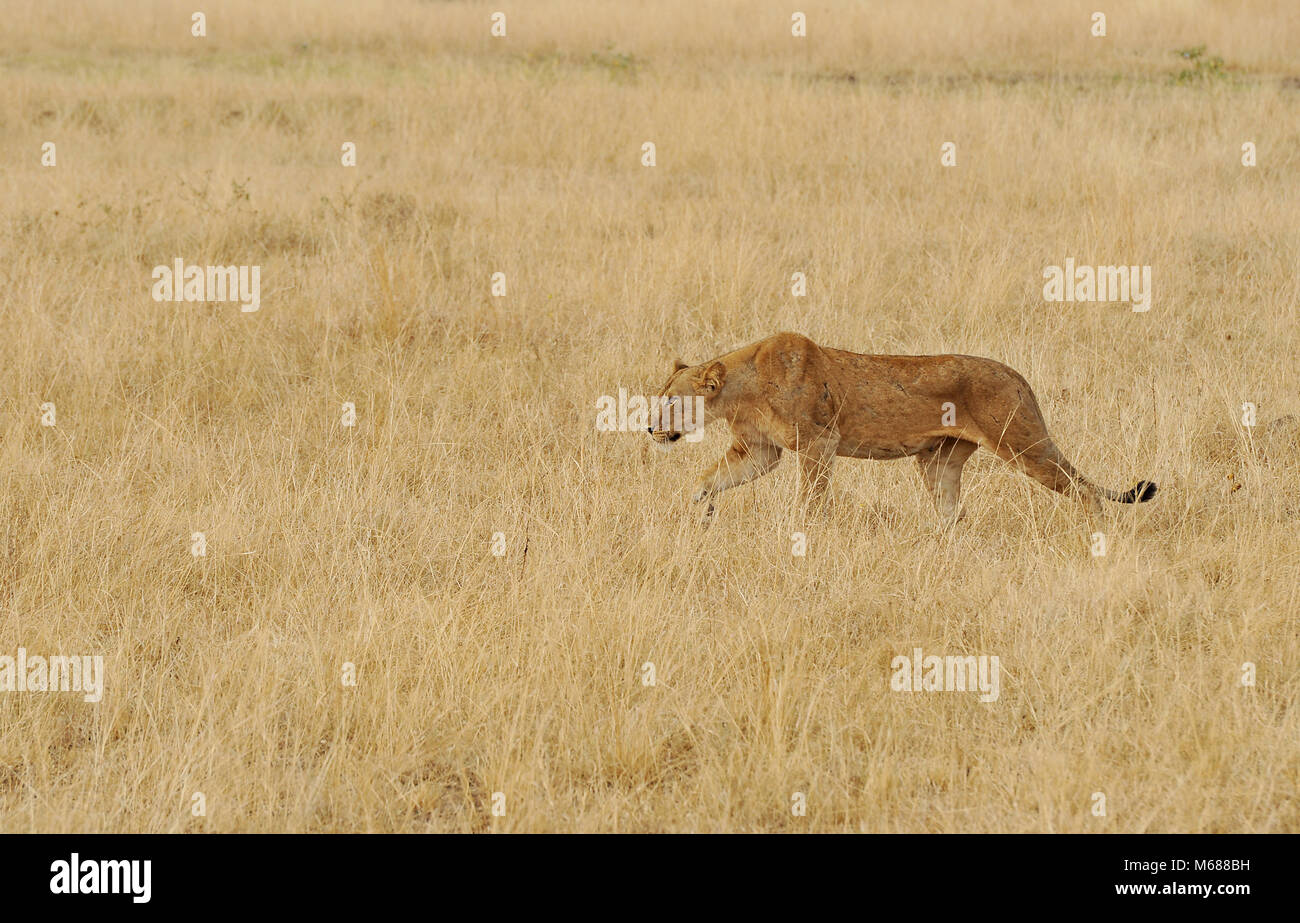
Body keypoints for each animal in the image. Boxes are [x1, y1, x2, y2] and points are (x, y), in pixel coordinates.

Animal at [647, 331, 1156, 524]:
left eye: (671, 402)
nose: (650, 427)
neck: (740, 392)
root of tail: (1018, 377)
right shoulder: (760, 450)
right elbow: (713, 476)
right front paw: (699, 505)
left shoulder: (818, 442)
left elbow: (811, 497)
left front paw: (803, 531)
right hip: (938, 460)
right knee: (953, 513)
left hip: (1023, 443)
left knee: (1085, 489)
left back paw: (1094, 533)